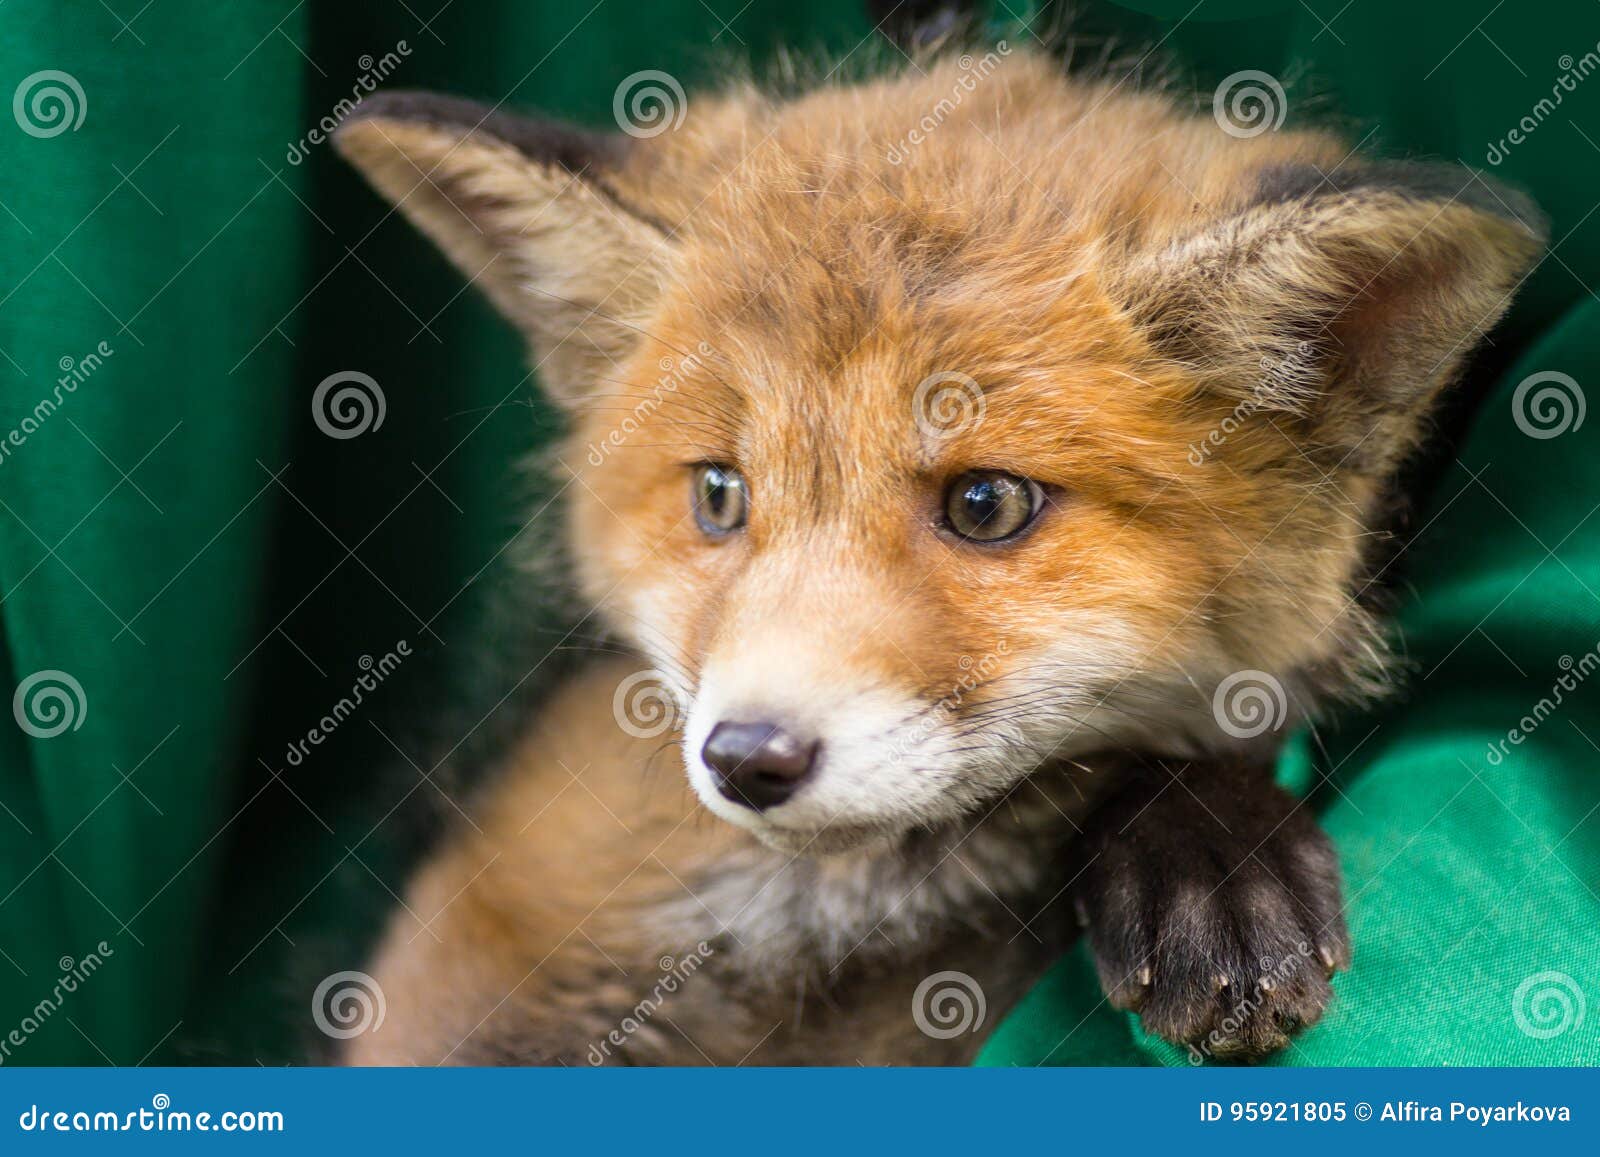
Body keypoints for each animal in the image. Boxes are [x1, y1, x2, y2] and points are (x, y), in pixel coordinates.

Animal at [330, 34, 1543, 1065]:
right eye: (719, 493)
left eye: (986, 504)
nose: (747, 757)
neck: (831, 925)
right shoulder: (464, 971)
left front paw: (1209, 851)